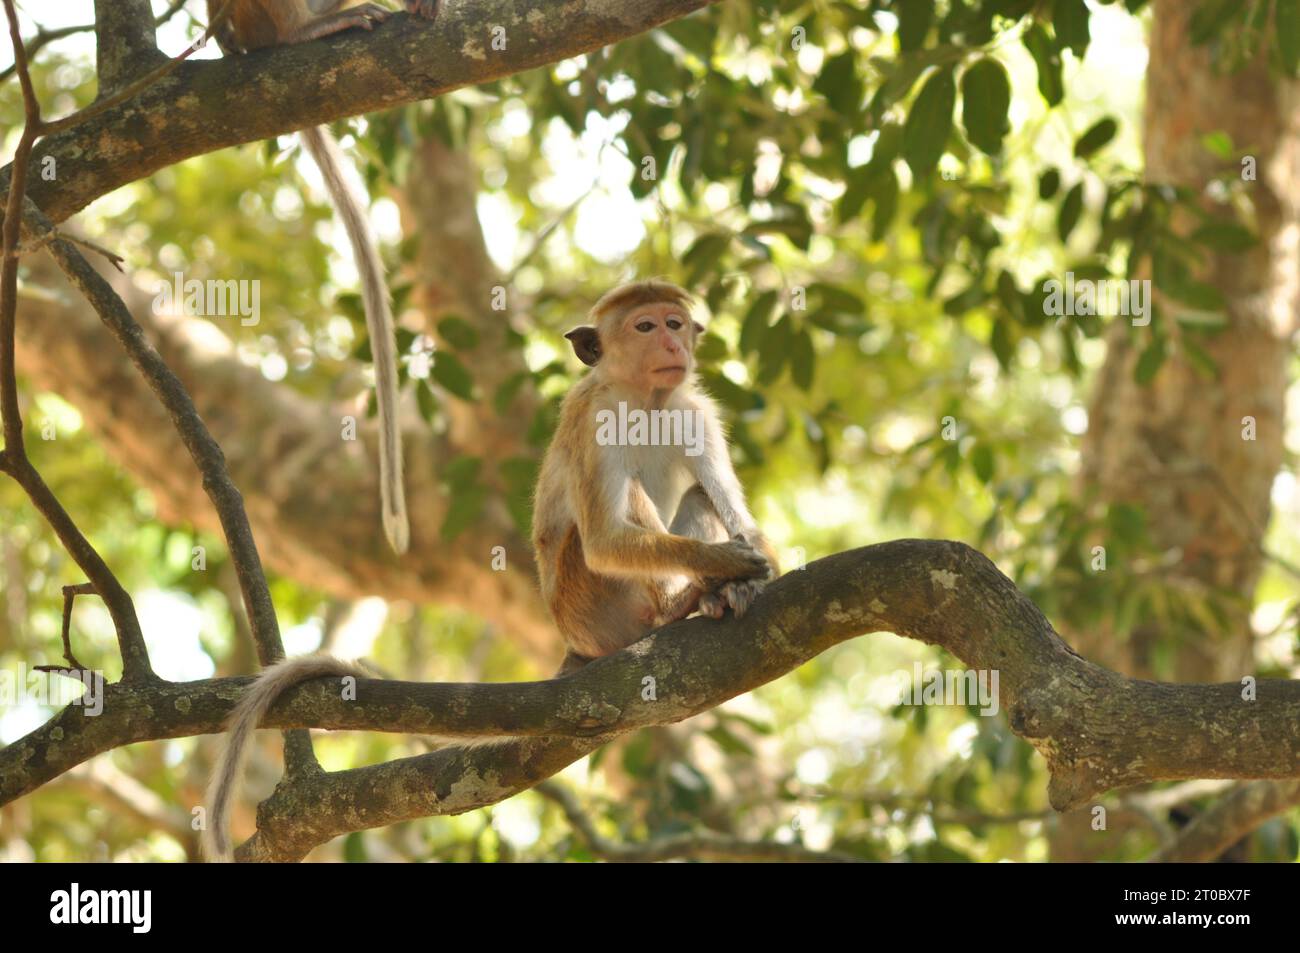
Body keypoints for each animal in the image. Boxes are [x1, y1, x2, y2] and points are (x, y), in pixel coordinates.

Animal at [201, 278, 778, 861]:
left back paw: (711, 597)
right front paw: (727, 562)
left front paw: (747, 571)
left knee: (700, 493)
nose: (673, 344)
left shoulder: (696, 411)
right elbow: (603, 543)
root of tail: (575, 641)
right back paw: (677, 605)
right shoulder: (591, 415)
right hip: (592, 605)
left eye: (674, 323)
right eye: (646, 326)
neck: (647, 401)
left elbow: (735, 513)